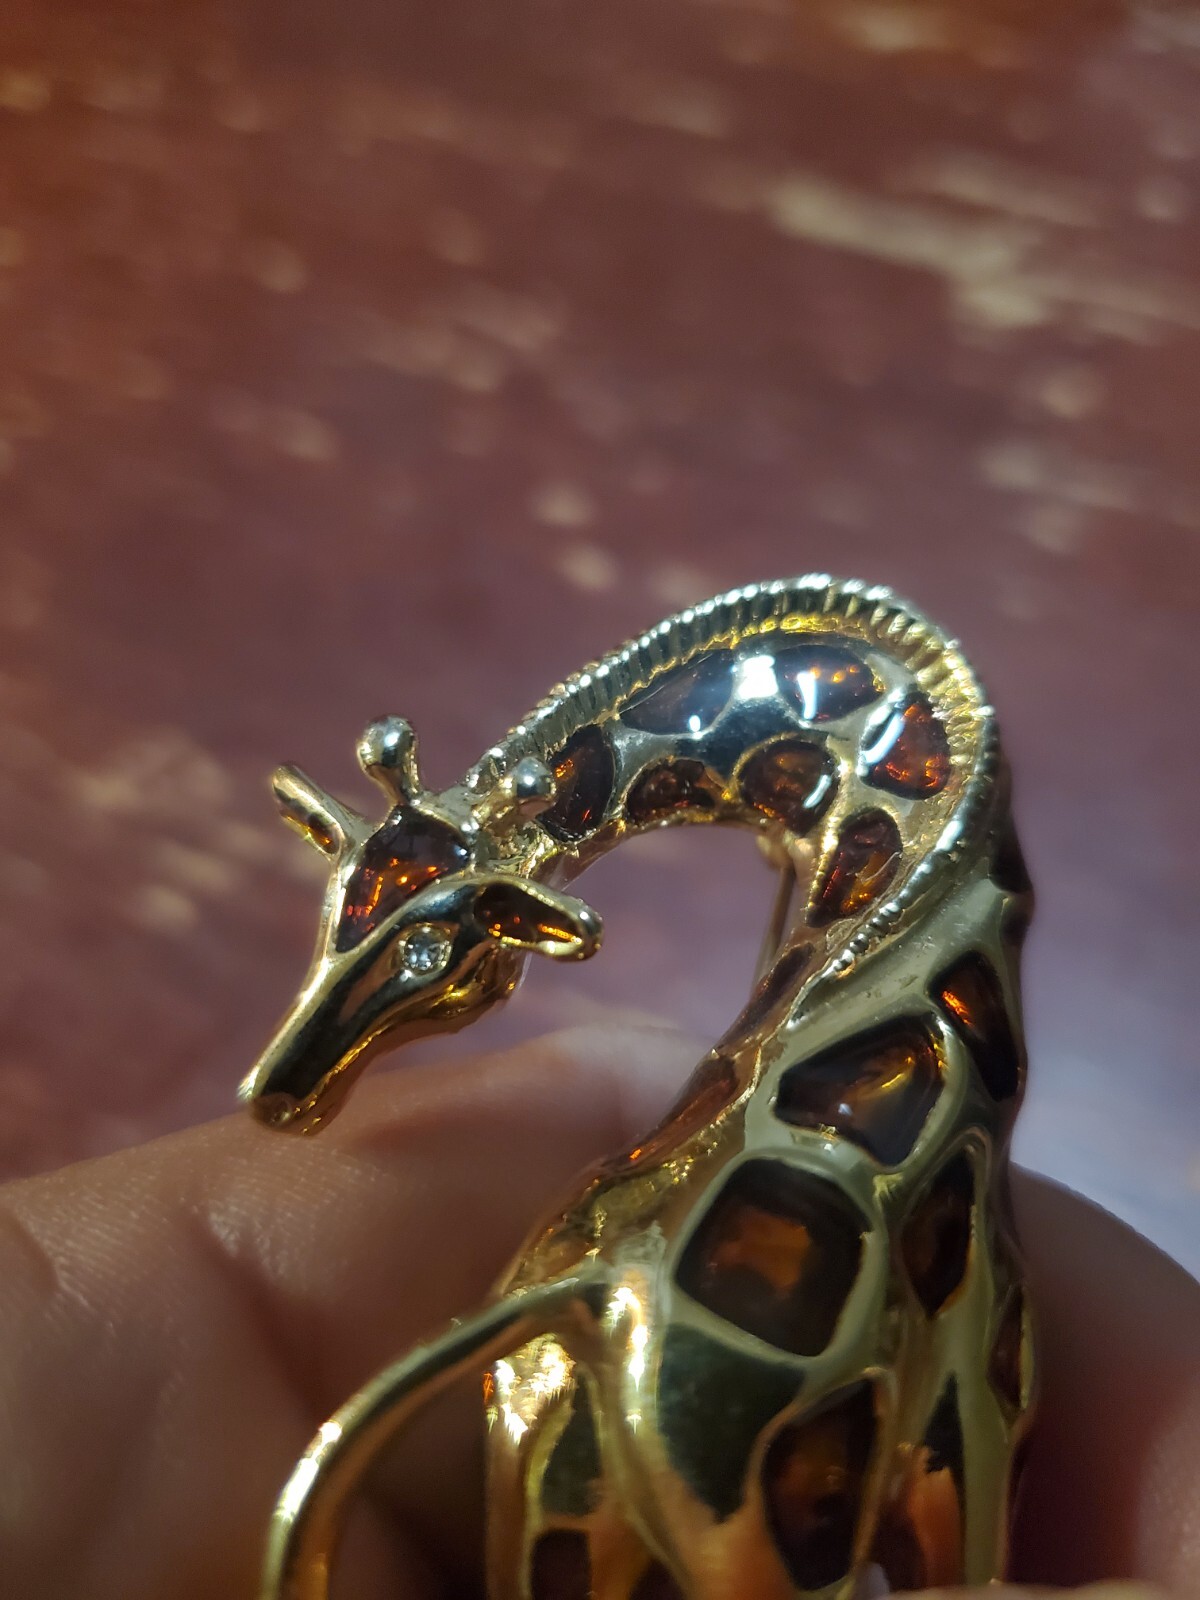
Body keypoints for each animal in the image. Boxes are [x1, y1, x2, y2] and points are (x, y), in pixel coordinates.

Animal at [241, 576, 1035, 1600]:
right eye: (333, 908)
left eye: (435, 956)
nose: (278, 1094)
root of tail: (594, 1298)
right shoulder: (976, 1448)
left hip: (563, 1482)